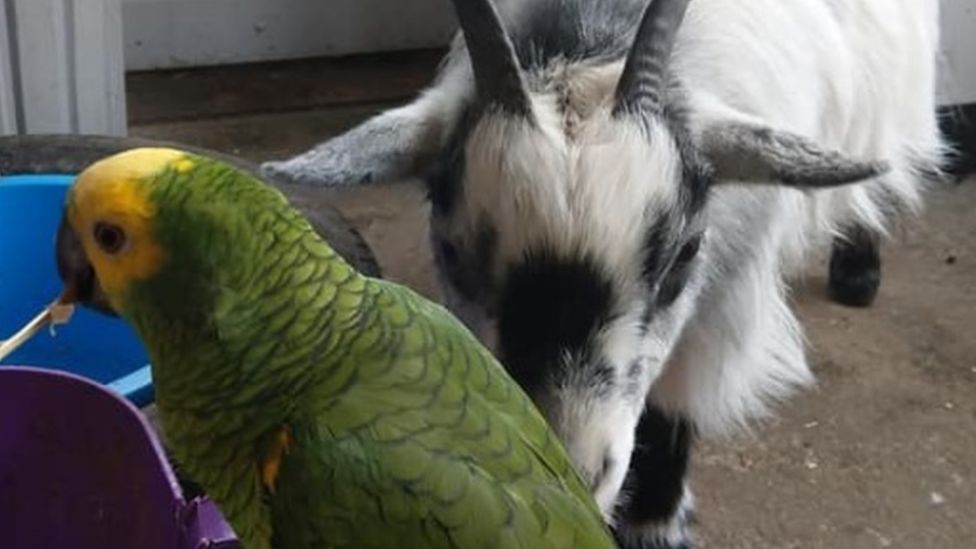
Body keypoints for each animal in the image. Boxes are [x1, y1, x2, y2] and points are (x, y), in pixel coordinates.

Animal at [263, 0, 945, 546]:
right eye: (451, 252)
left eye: (684, 254)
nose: (572, 466)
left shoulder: (723, 286)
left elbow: (675, 404)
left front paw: (656, 525)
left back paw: (859, 266)